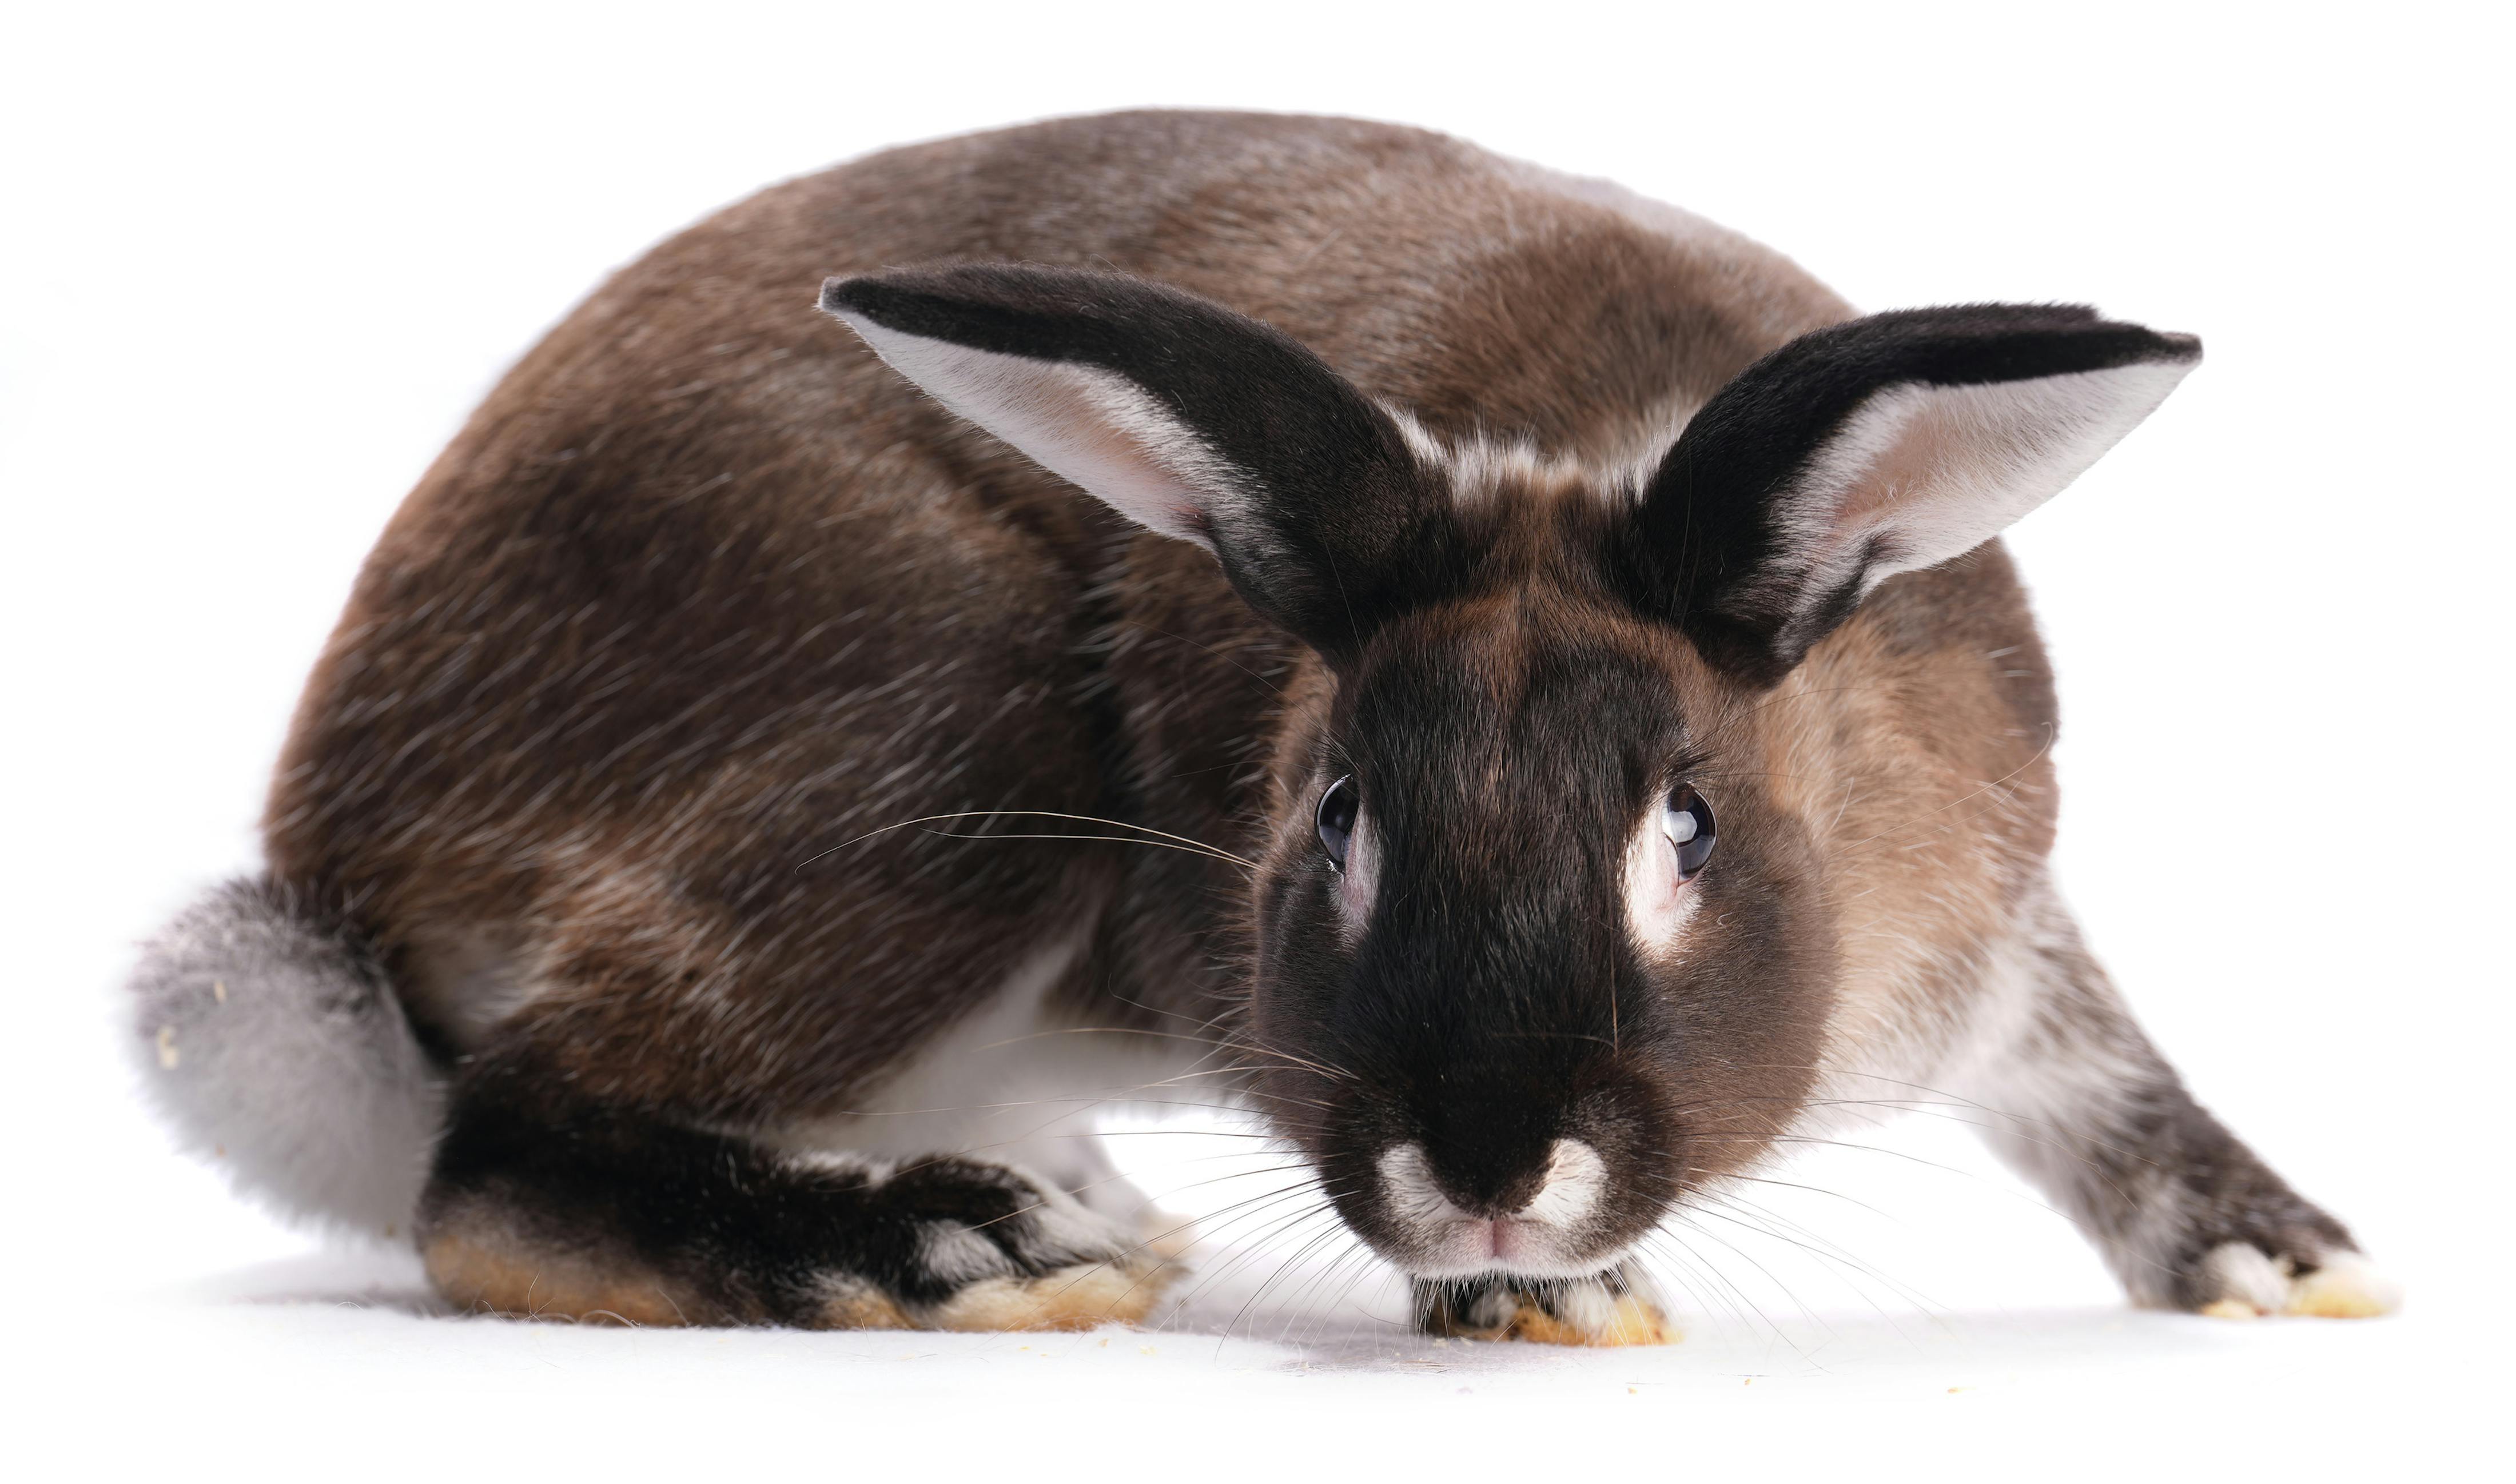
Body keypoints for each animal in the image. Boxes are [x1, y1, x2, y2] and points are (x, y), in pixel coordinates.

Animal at [127, 109, 2398, 1341]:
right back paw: (960, 1249)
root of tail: (339, 856)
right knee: (490, 1159)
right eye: (1329, 819)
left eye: (1690, 827)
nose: (1487, 1175)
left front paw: (2292, 1269)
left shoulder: (2001, 954)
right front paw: (1542, 1305)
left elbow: (2105, 1080)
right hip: (931, 758)